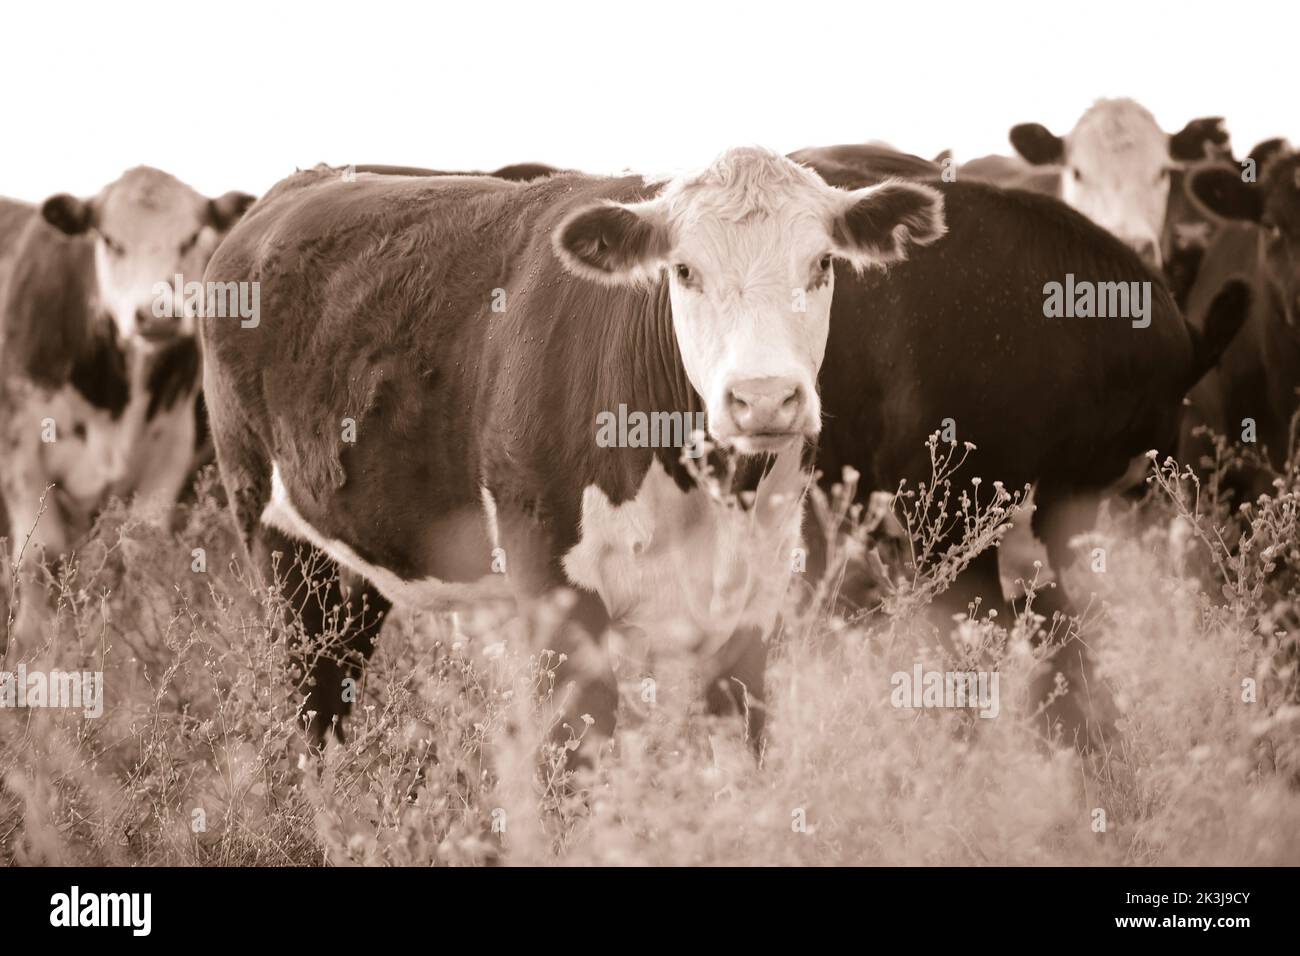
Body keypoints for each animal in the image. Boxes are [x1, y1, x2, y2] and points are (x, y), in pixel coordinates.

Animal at [0, 167, 254, 639]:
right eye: (110, 240)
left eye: (191, 239)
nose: (157, 313)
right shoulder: (18, 452)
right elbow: (38, 557)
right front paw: (30, 644)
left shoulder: (170, 449)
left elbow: (142, 546)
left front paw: (156, 634)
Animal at [199, 149, 946, 755]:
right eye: (684, 270)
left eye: (822, 263)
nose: (763, 399)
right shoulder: (555, 590)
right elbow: (578, 756)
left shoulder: (756, 597)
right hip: (276, 540)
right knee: (311, 698)